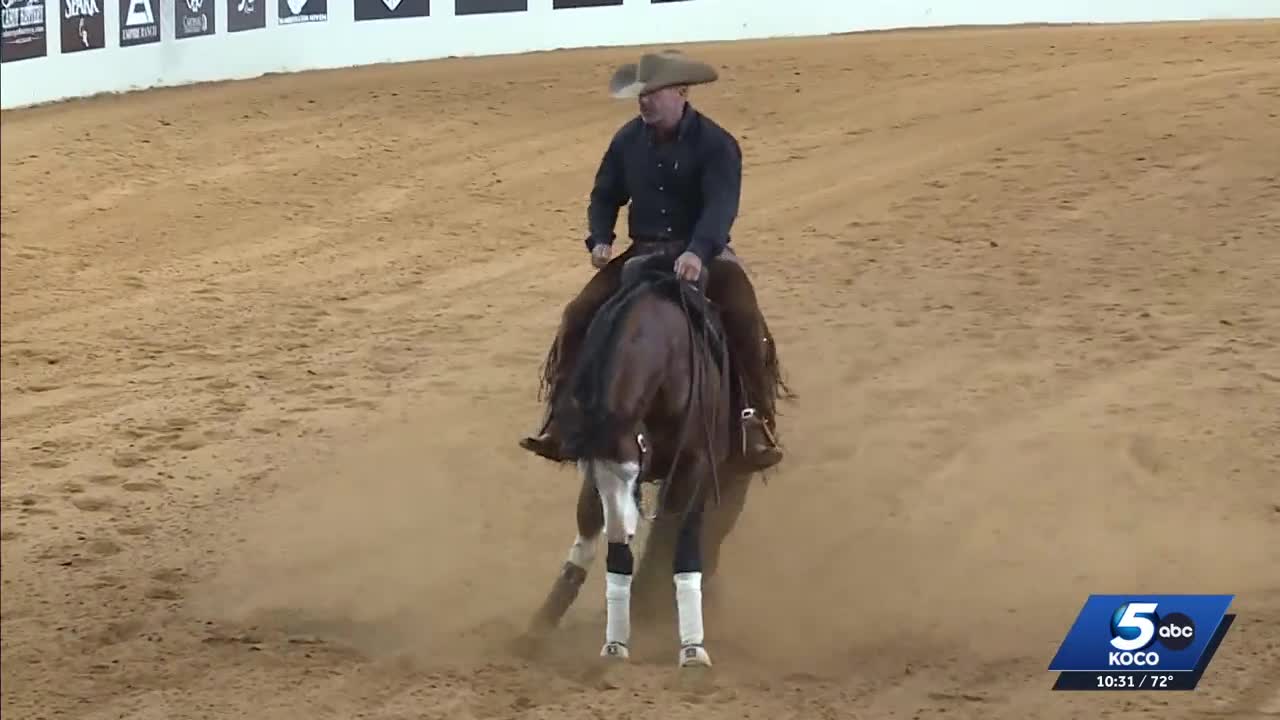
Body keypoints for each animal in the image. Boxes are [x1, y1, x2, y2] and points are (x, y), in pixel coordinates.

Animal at [523, 251, 756, 668]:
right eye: (597, 477)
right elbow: (588, 537)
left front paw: (691, 648)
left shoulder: (694, 467)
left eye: (632, 475)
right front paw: (548, 626)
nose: (621, 532)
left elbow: (682, 548)